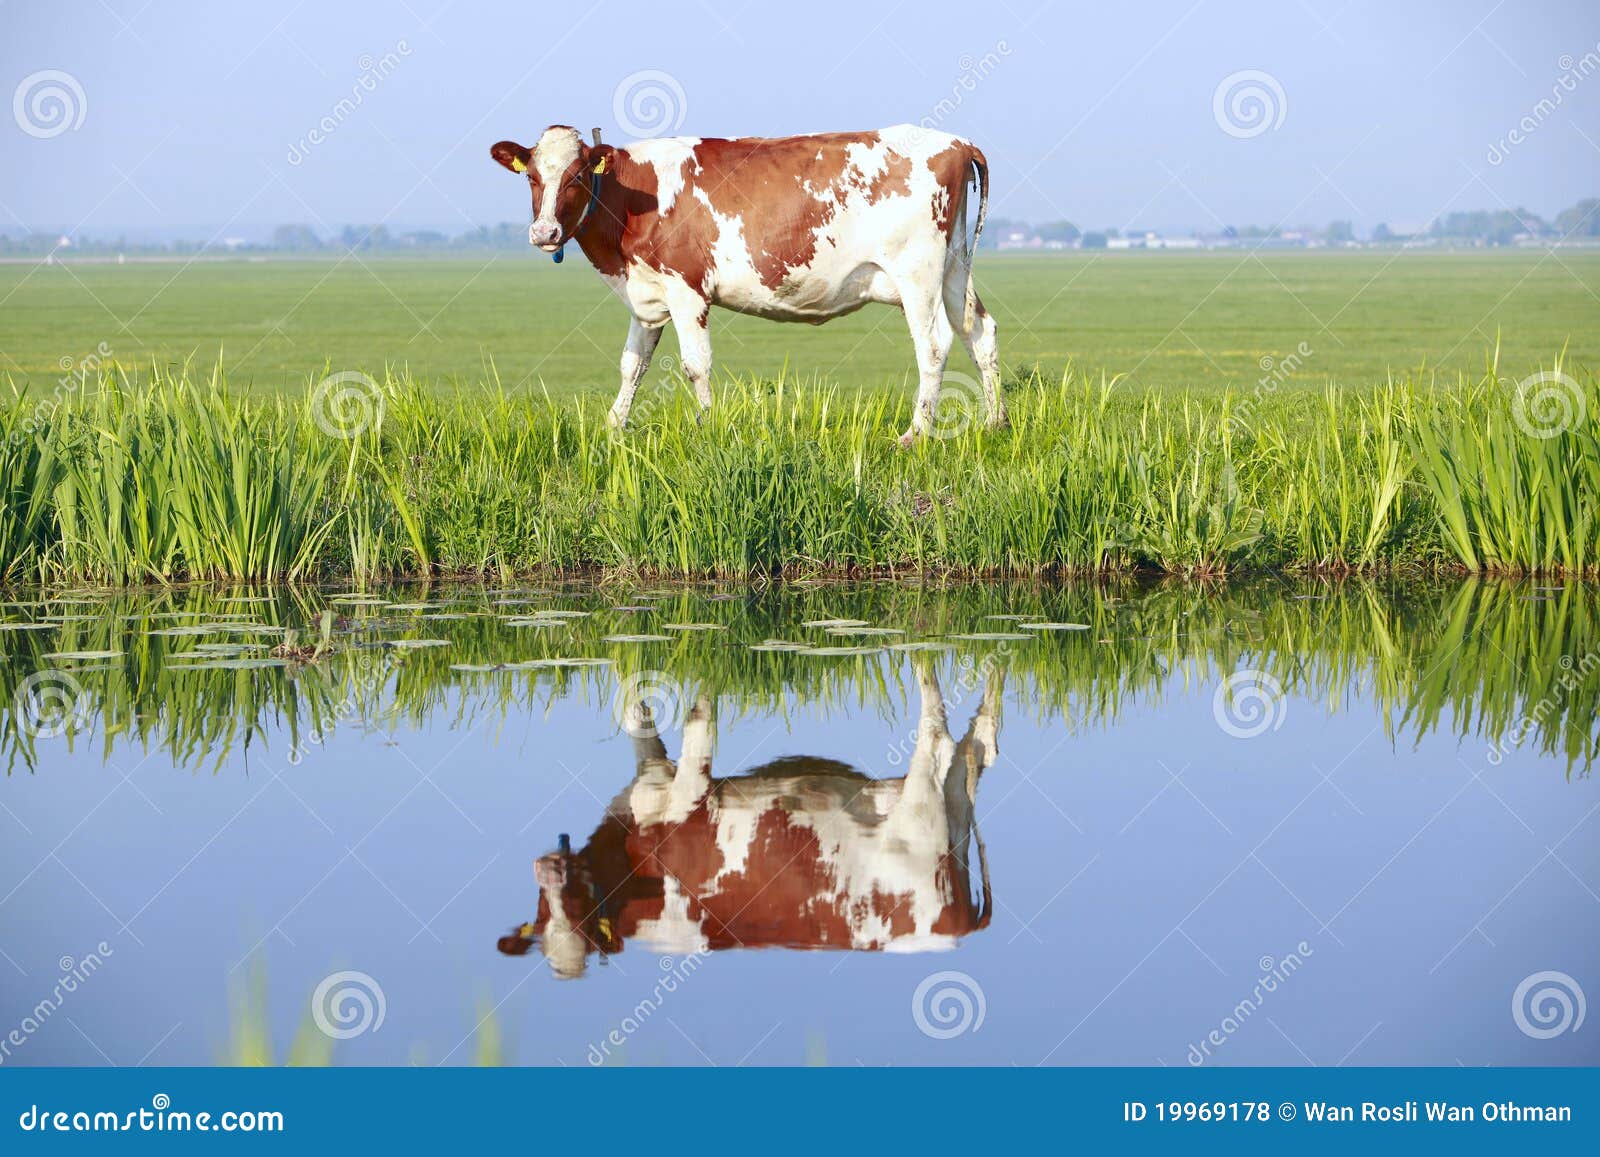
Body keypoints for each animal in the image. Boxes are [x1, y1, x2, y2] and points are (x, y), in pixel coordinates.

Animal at [489, 124, 1009, 444]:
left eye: (577, 176)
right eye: (532, 176)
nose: (544, 233)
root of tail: (956, 142)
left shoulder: (686, 289)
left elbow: (695, 365)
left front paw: (707, 428)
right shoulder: (648, 295)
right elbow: (631, 365)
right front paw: (614, 429)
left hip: (917, 271)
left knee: (934, 344)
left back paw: (916, 433)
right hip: (953, 266)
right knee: (979, 332)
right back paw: (994, 421)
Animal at [497, 661, 1005, 978]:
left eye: (581, 910)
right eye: (541, 914)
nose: (547, 868)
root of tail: (957, 925)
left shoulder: (690, 789)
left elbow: (698, 715)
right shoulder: (649, 777)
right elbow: (634, 715)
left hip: (920, 805)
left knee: (936, 733)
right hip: (953, 802)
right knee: (981, 744)